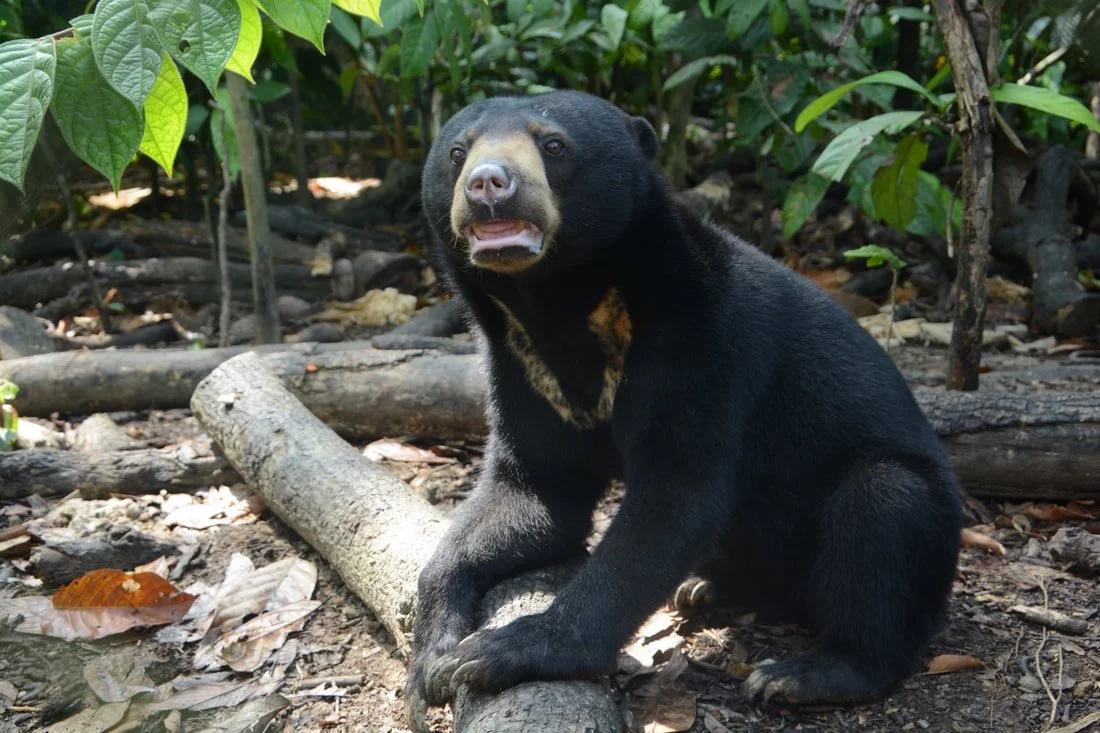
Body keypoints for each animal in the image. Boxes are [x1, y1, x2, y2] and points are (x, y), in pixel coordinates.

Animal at [406, 89, 963, 727]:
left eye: (553, 145)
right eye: (458, 152)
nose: (488, 183)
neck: (560, 303)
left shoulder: (701, 338)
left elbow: (675, 497)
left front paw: (504, 649)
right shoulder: (519, 361)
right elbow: (538, 488)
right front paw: (432, 661)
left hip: (921, 528)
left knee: (885, 505)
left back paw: (808, 673)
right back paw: (706, 590)